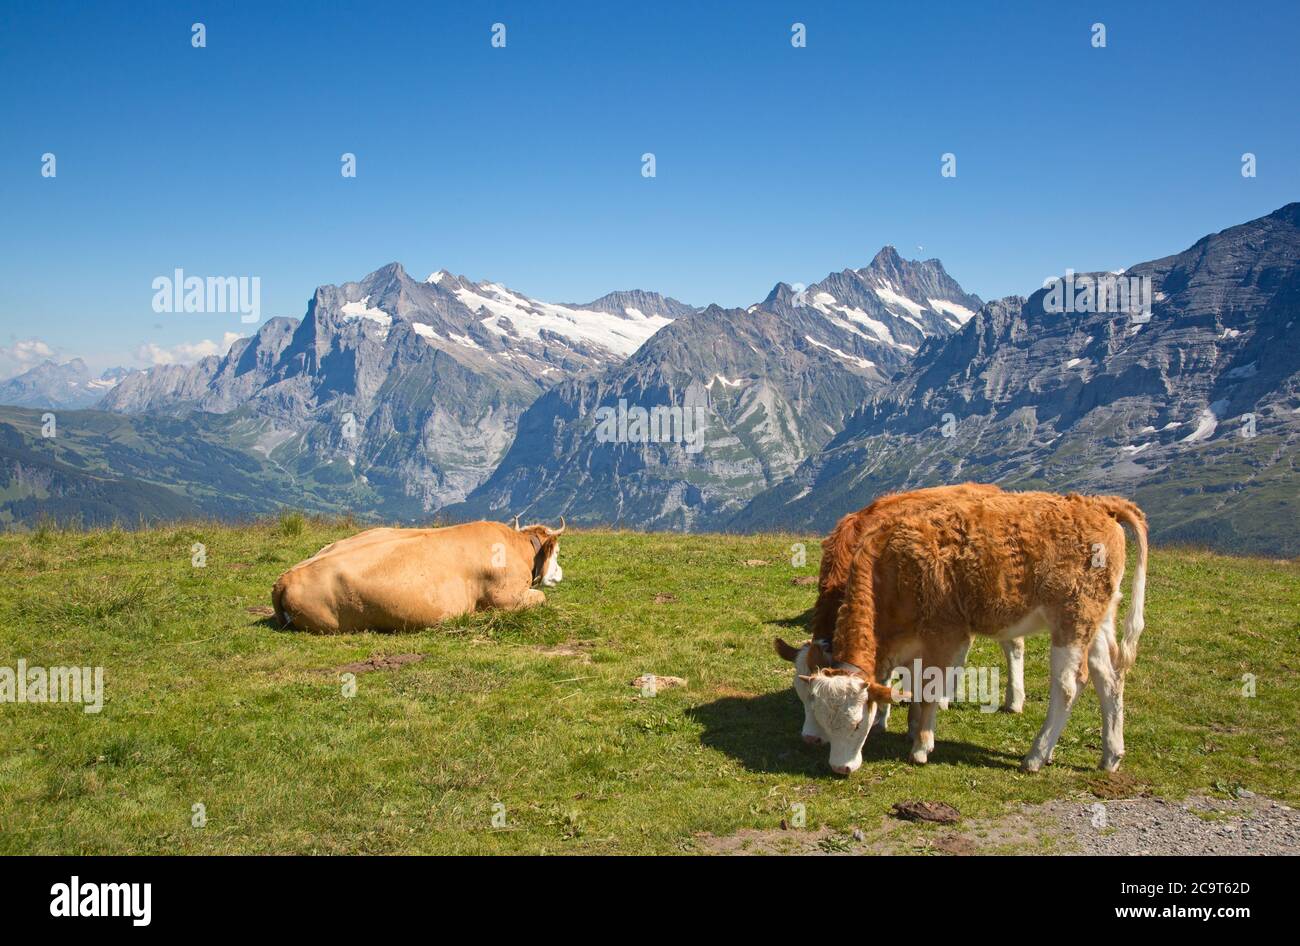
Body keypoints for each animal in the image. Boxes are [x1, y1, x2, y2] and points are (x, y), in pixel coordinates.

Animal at [271, 518, 565, 633]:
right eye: (558, 551)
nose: (560, 573)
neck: (517, 548)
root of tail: (286, 577)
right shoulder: (506, 599)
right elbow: (541, 599)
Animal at [774, 483, 1026, 746]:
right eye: (802, 695)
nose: (809, 738)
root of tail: (990, 488)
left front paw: (890, 720)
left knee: (1013, 645)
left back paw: (1014, 701)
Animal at [799, 489, 1147, 775]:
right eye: (815, 709)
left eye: (858, 723)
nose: (840, 767)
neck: (890, 567)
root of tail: (1098, 505)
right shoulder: (906, 642)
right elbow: (909, 683)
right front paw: (909, 727)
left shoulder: (946, 633)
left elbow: (930, 689)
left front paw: (921, 746)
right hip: (1098, 617)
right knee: (1109, 678)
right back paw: (1110, 755)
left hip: (1071, 619)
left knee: (1068, 685)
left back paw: (1036, 756)